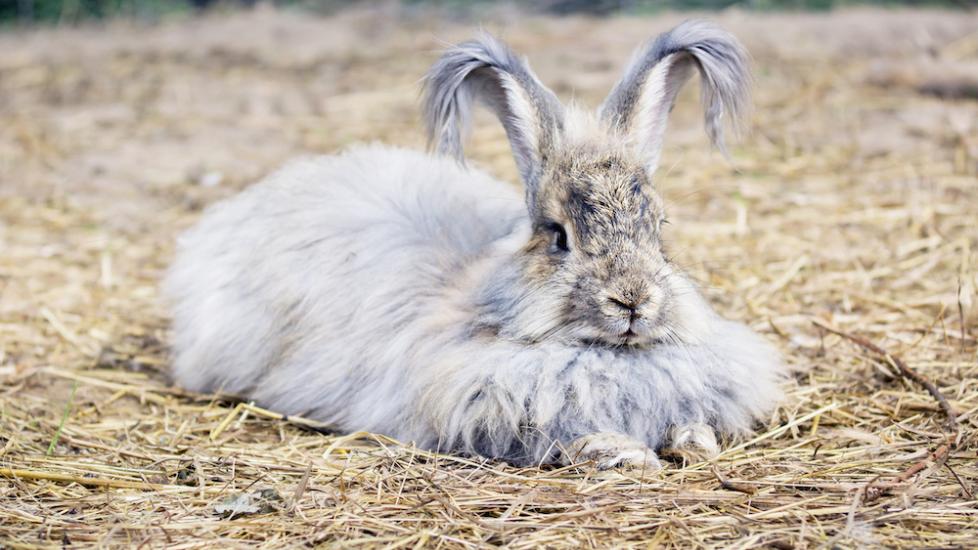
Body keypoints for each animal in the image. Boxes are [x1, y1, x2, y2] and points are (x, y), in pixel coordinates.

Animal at [165, 20, 785, 469]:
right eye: (558, 236)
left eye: (659, 227)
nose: (633, 300)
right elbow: (555, 442)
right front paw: (622, 453)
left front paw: (694, 442)